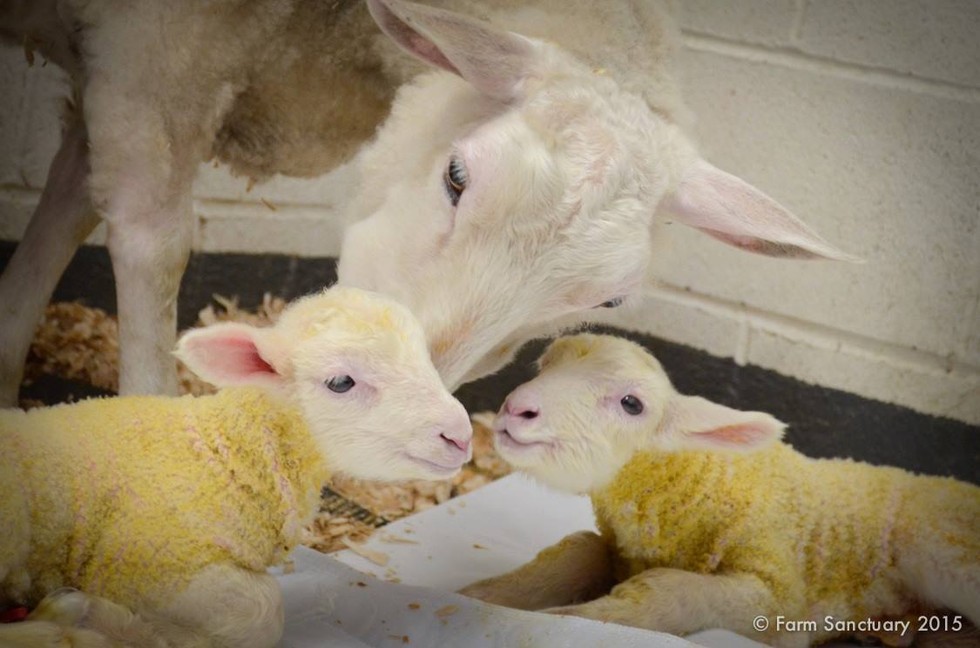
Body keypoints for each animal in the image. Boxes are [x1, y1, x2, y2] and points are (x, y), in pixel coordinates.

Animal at [0, 285, 473, 647]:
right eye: (341, 382)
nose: (460, 435)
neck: (221, 457)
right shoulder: (144, 564)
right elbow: (264, 608)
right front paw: (128, 627)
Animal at [459, 334, 980, 648]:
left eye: (631, 404)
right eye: (542, 364)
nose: (517, 408)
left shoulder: (778, 594)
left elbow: (670, 590)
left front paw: (583, 614)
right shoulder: (617, 549)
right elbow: (576, 550)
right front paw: (483, 595)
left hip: (943, 553)